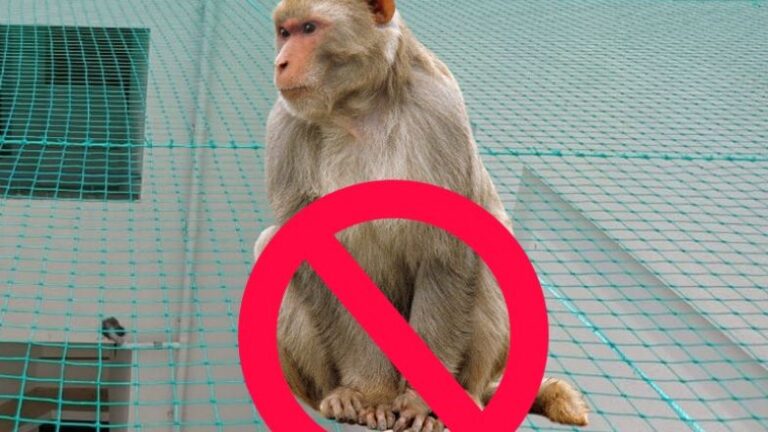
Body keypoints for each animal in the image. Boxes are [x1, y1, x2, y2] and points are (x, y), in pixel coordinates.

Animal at [253, 1, 590, 430]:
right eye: (284, 32)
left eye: (309, 29)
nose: (280, 62)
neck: (358, 108)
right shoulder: (284, 129)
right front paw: (370, 393)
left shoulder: (440, 112)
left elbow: (448, 247)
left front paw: (420, 402)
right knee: (272, 245)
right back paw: (337, 395)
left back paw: (464, 400)